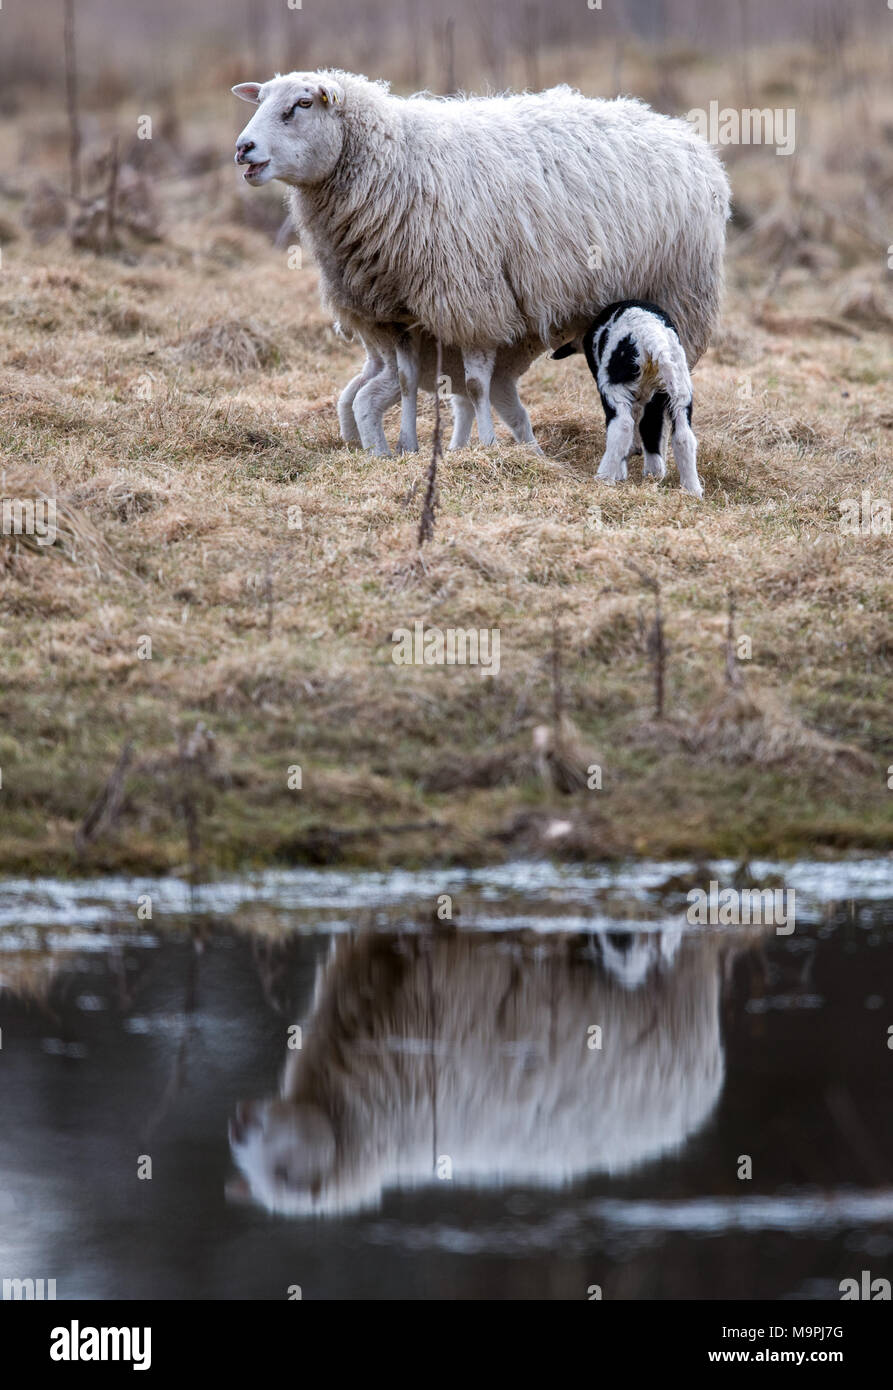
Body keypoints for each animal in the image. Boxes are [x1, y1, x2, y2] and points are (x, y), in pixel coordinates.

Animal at [232, 71, 730, 428]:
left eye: (301, 104)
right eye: (261, 101)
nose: (242, 149)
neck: (396, 160)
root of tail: (688, 138)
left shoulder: (471, 301)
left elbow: (473, 387)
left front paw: (482, 450)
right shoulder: (394, 313)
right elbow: (417, 384)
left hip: (678, 294)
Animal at [552, 299, 703, 497]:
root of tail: (652, 338)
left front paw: (621, 472)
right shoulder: (654, 398)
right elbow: (651, 427)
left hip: (614, 385)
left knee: (622, 426)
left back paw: (604, 477)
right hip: (679, 388)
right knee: (681, 435)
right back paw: (689, 488)